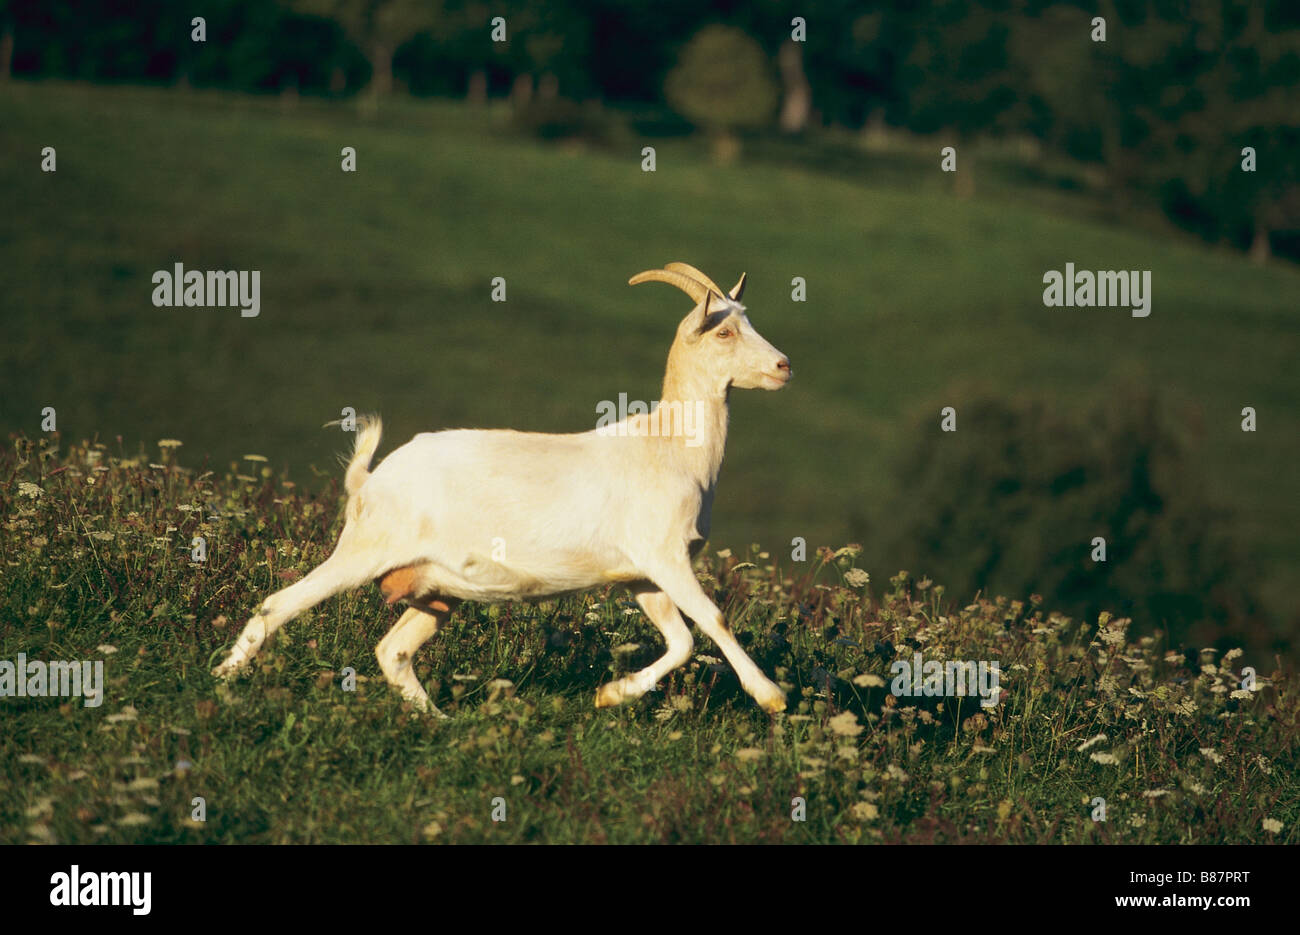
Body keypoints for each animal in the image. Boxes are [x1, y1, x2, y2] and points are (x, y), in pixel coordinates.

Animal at [212, 263, 793, 716]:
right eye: (723, 333)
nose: (784, 366)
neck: (670, 446)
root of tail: (370, 479)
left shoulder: (640, 575)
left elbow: (682, 641)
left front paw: (610, 694)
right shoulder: (665, 557)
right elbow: (713, 621)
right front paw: (771, 696)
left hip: (435, 589)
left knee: (392, 651)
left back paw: (441, 723)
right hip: (365, 550)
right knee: (277, 605)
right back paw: (221, 683)